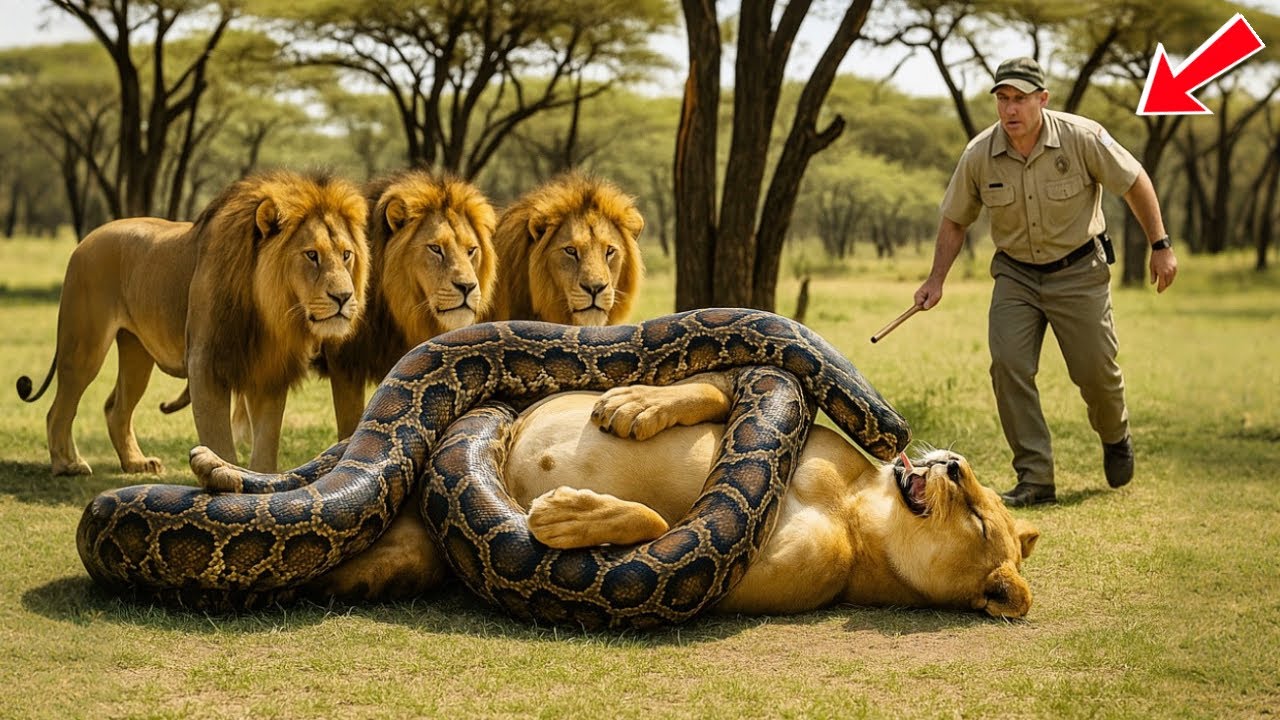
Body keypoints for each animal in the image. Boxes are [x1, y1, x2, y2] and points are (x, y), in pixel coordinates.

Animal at [17, 170, 369, 475]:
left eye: (346, 254)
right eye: (311, 255)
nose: (344, 297)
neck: (270, 314)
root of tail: (85, 240)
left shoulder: (268, 373)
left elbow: (267, 444)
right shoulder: (206, 365)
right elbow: (219, 442)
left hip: (136, 352)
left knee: (115, 408)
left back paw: (136, 463)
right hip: (84, 345)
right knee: (59, 408)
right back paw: (67, 465)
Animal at [315, 372, 1039, 619]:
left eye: (978, 520)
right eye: (983, 500)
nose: (953, 463)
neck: (855, 512)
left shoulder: (777, 574)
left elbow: (663, 528)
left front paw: (565, 513)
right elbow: (722, 383)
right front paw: (640, 403)